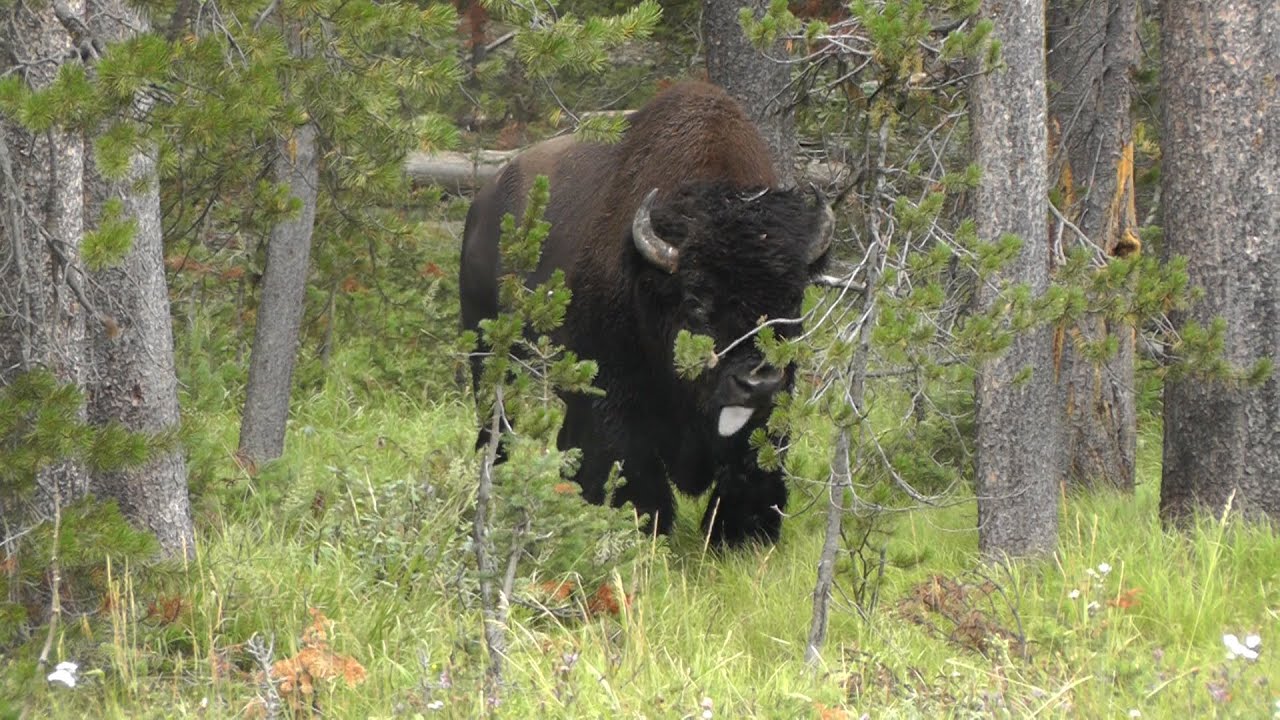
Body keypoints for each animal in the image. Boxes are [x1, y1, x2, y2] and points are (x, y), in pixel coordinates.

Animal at [460, 81, 834, 546]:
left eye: (792, 303)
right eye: (696, 302)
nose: (758, 383)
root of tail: (482, 205)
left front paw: (742, 535)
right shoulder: (613, 393)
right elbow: (630, 464)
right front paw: (642, 528)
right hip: (489, 348)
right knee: (497, 418)